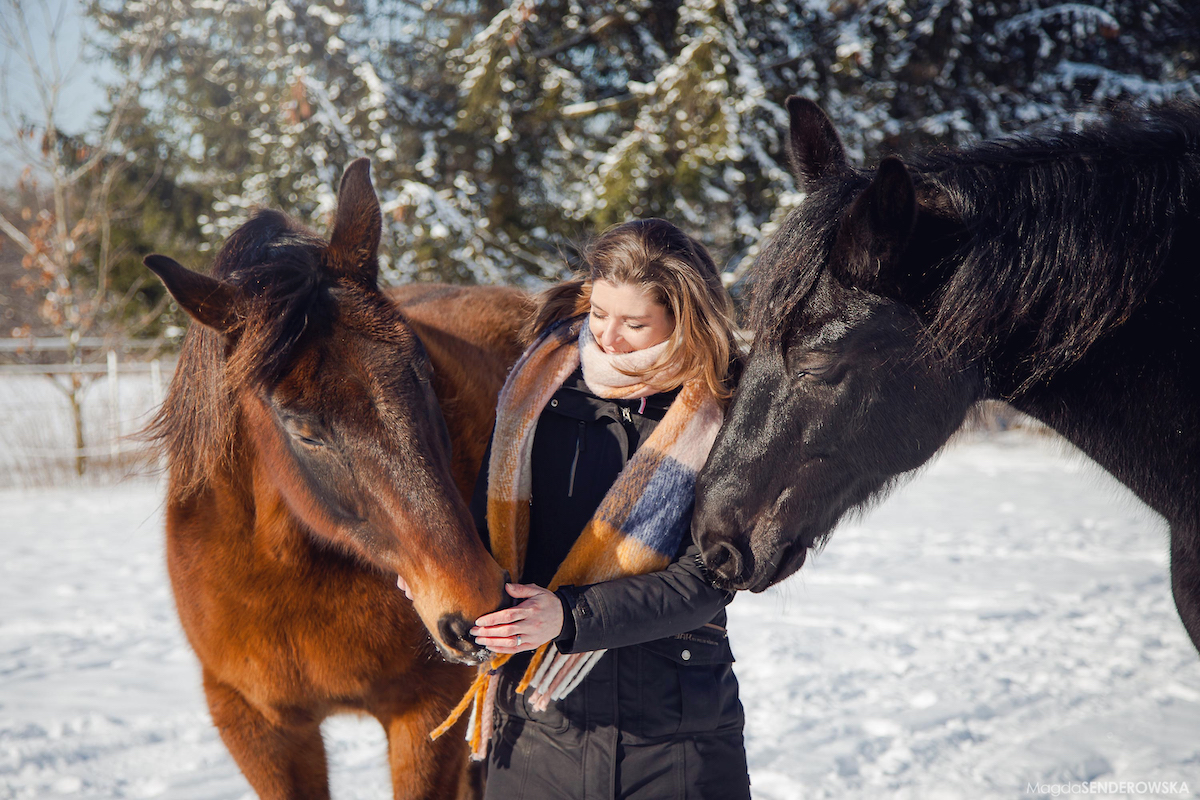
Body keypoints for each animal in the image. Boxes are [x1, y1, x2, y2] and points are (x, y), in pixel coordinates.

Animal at [144, 159, 530, 799]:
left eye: (425, 375)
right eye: (302, 428)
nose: (477, 606)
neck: (287, 572)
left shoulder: (426, 714)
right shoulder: (257, 724)